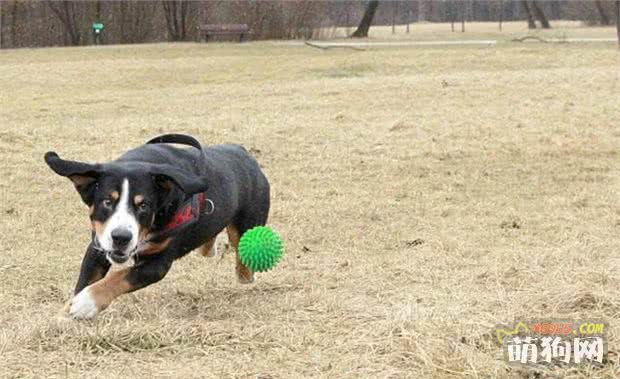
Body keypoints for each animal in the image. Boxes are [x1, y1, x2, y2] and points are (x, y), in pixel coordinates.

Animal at [46, 135, 268, 320]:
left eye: (143, 205)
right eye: (107, 202)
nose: (121, 237)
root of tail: (242, 151)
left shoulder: (158, 264)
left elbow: (120, 277)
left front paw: (86, 302)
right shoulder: (98, 246)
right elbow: (85, 279)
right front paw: (63, 315)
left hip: (247, 226)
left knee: (243, 258)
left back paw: (244, 275)